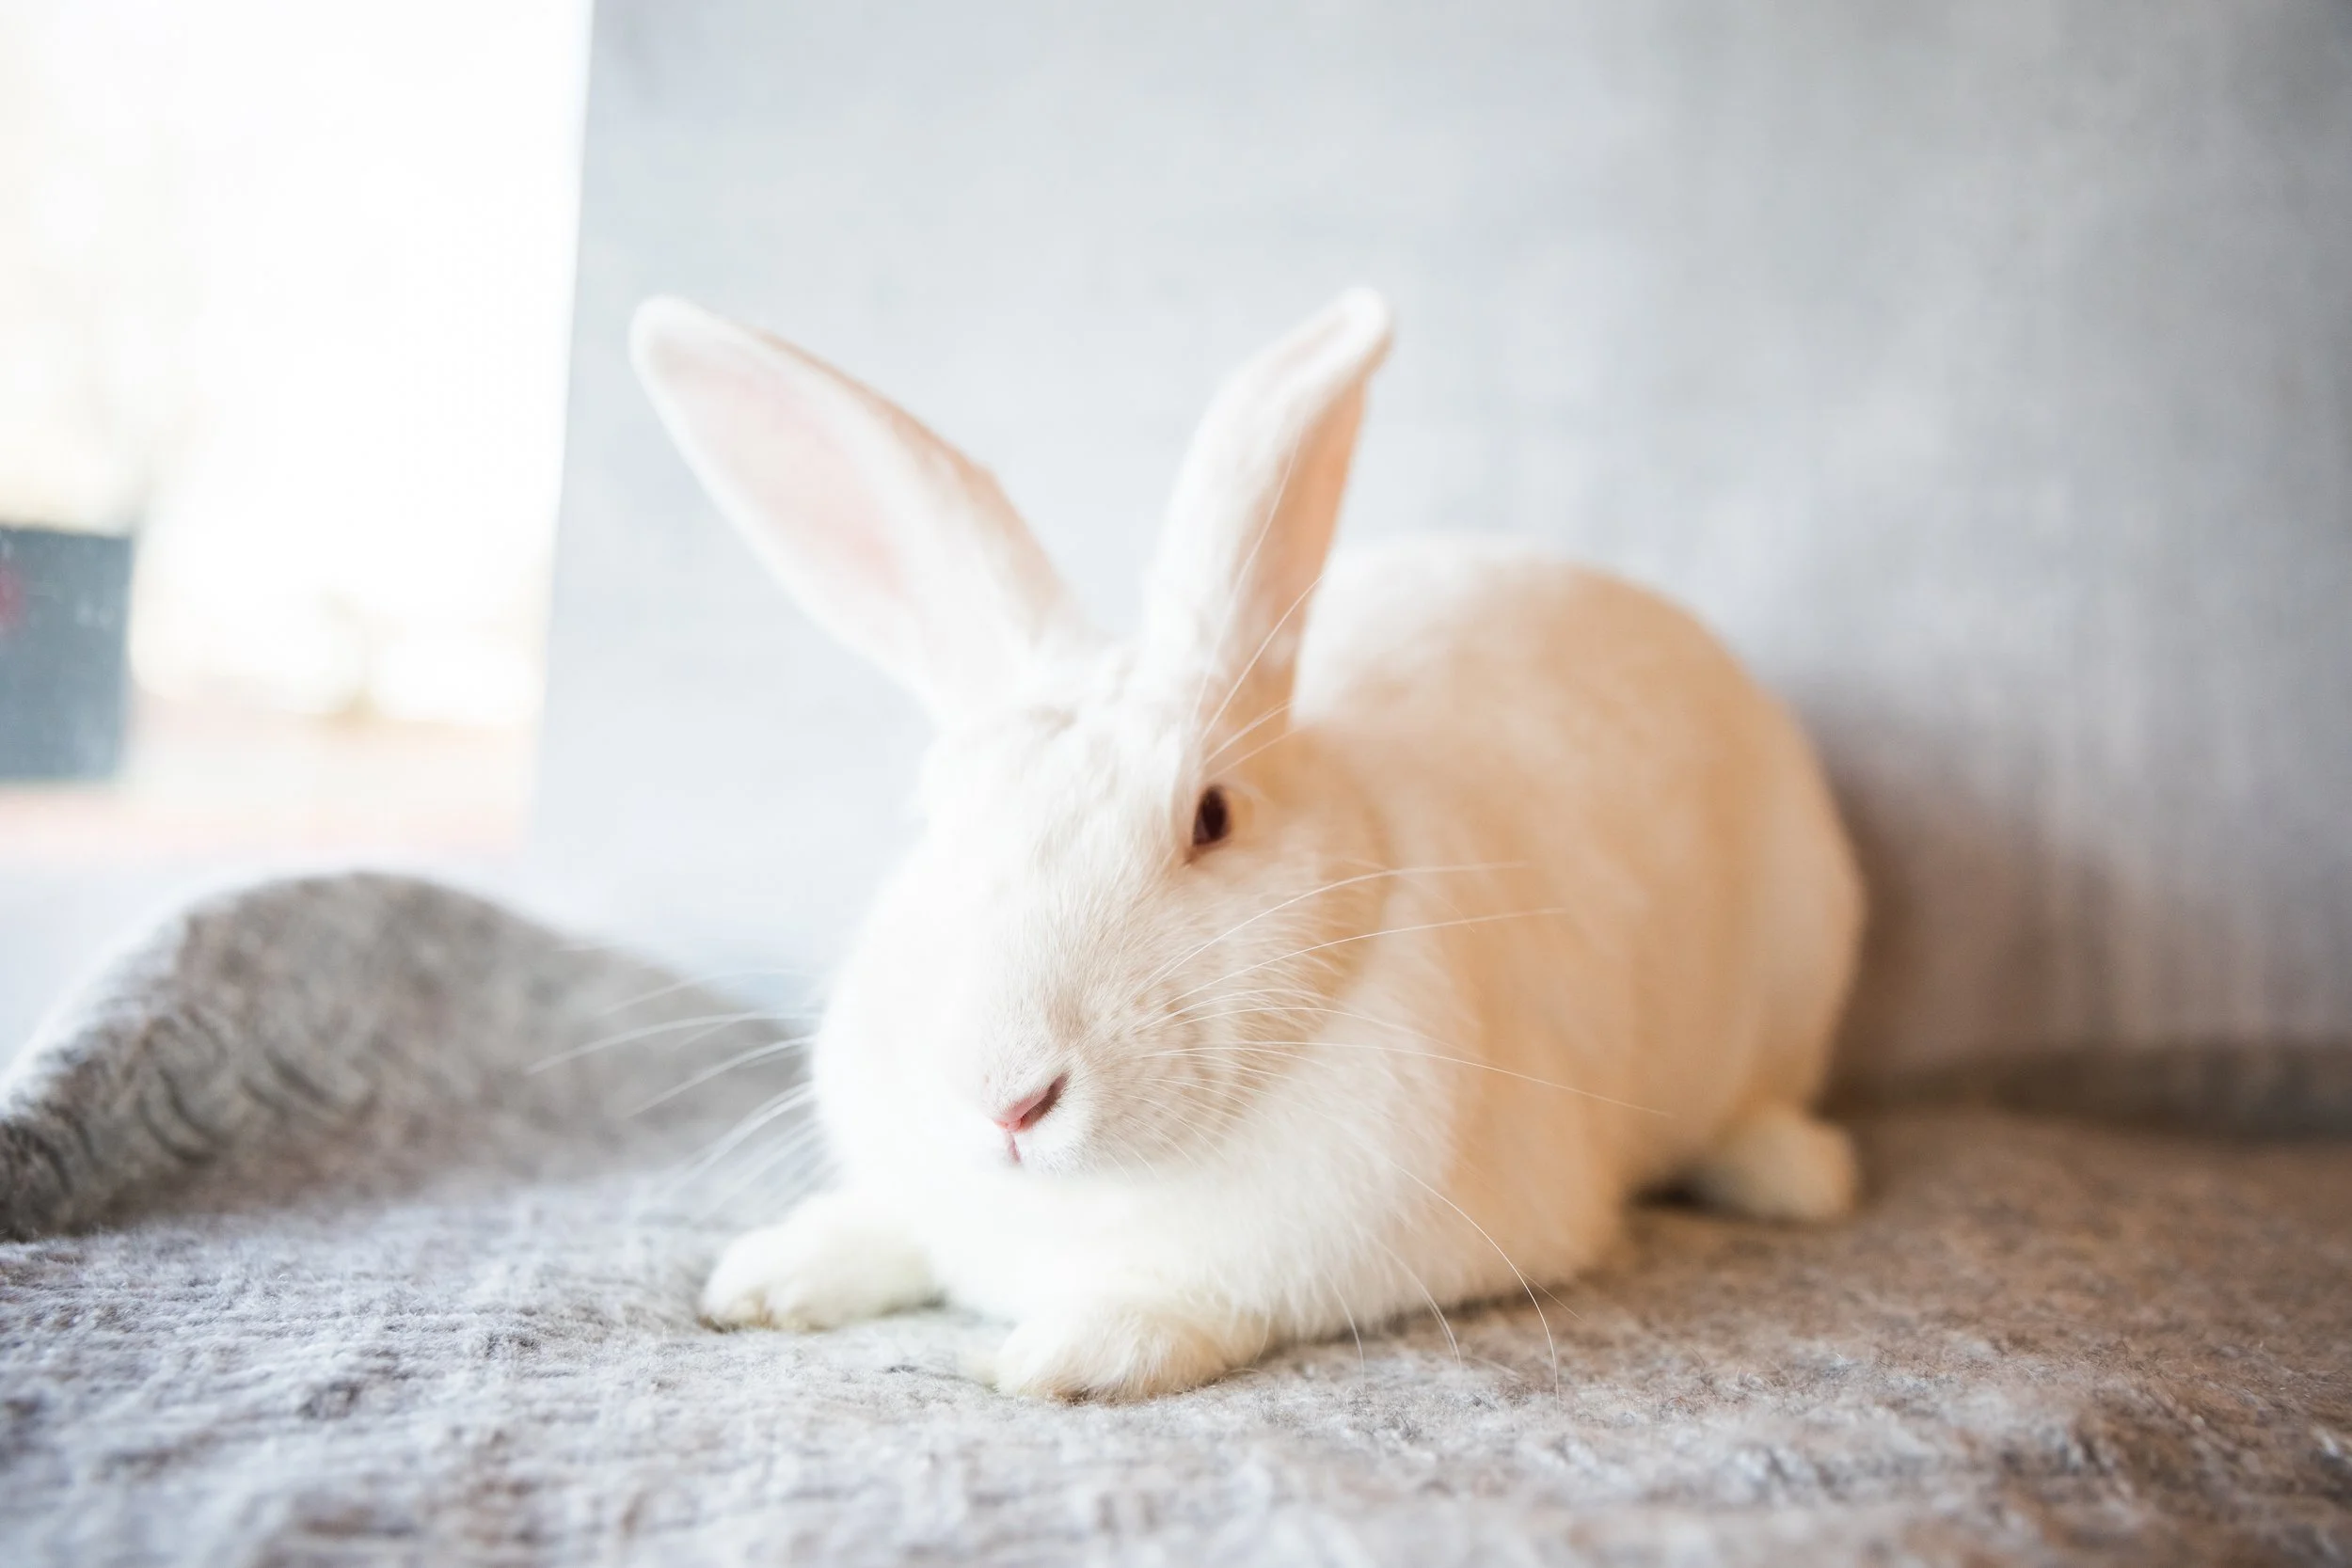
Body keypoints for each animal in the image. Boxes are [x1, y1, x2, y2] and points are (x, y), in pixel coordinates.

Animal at [630, 287, 1864, 1401]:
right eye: (935, 815)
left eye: (1210, 817)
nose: (1004, 1098)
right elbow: (889, 1227)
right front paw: (768, 1275)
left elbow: (1202, 1297)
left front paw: (1068, 1352)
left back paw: (1797, 1176)